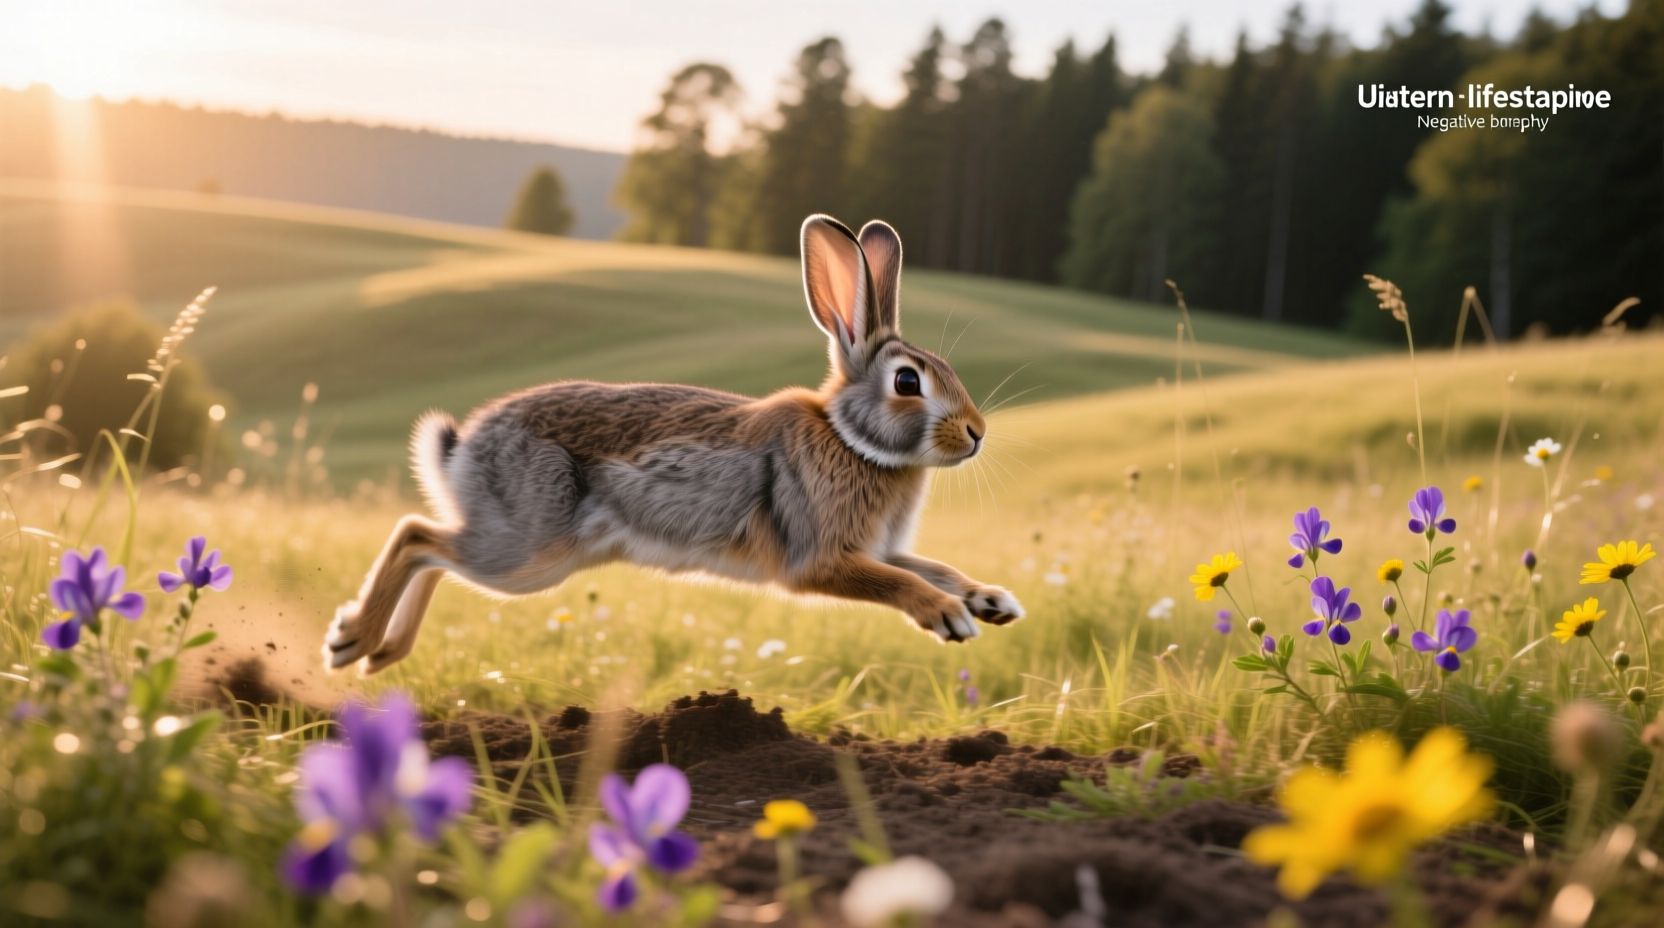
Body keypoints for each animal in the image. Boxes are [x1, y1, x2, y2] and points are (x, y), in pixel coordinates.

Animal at [323, 215, 1024, 675]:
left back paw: (382, 652)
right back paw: (352, 641)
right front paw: (947, 615)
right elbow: (895, 581)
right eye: (908, 381)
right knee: (417, 535)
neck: (852, 440)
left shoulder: (877, 547)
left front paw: (990, 601)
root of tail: (461, 449)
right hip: (525, 549)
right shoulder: (819, 557)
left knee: (433, 551)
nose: (977, 434)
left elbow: (930, 566)